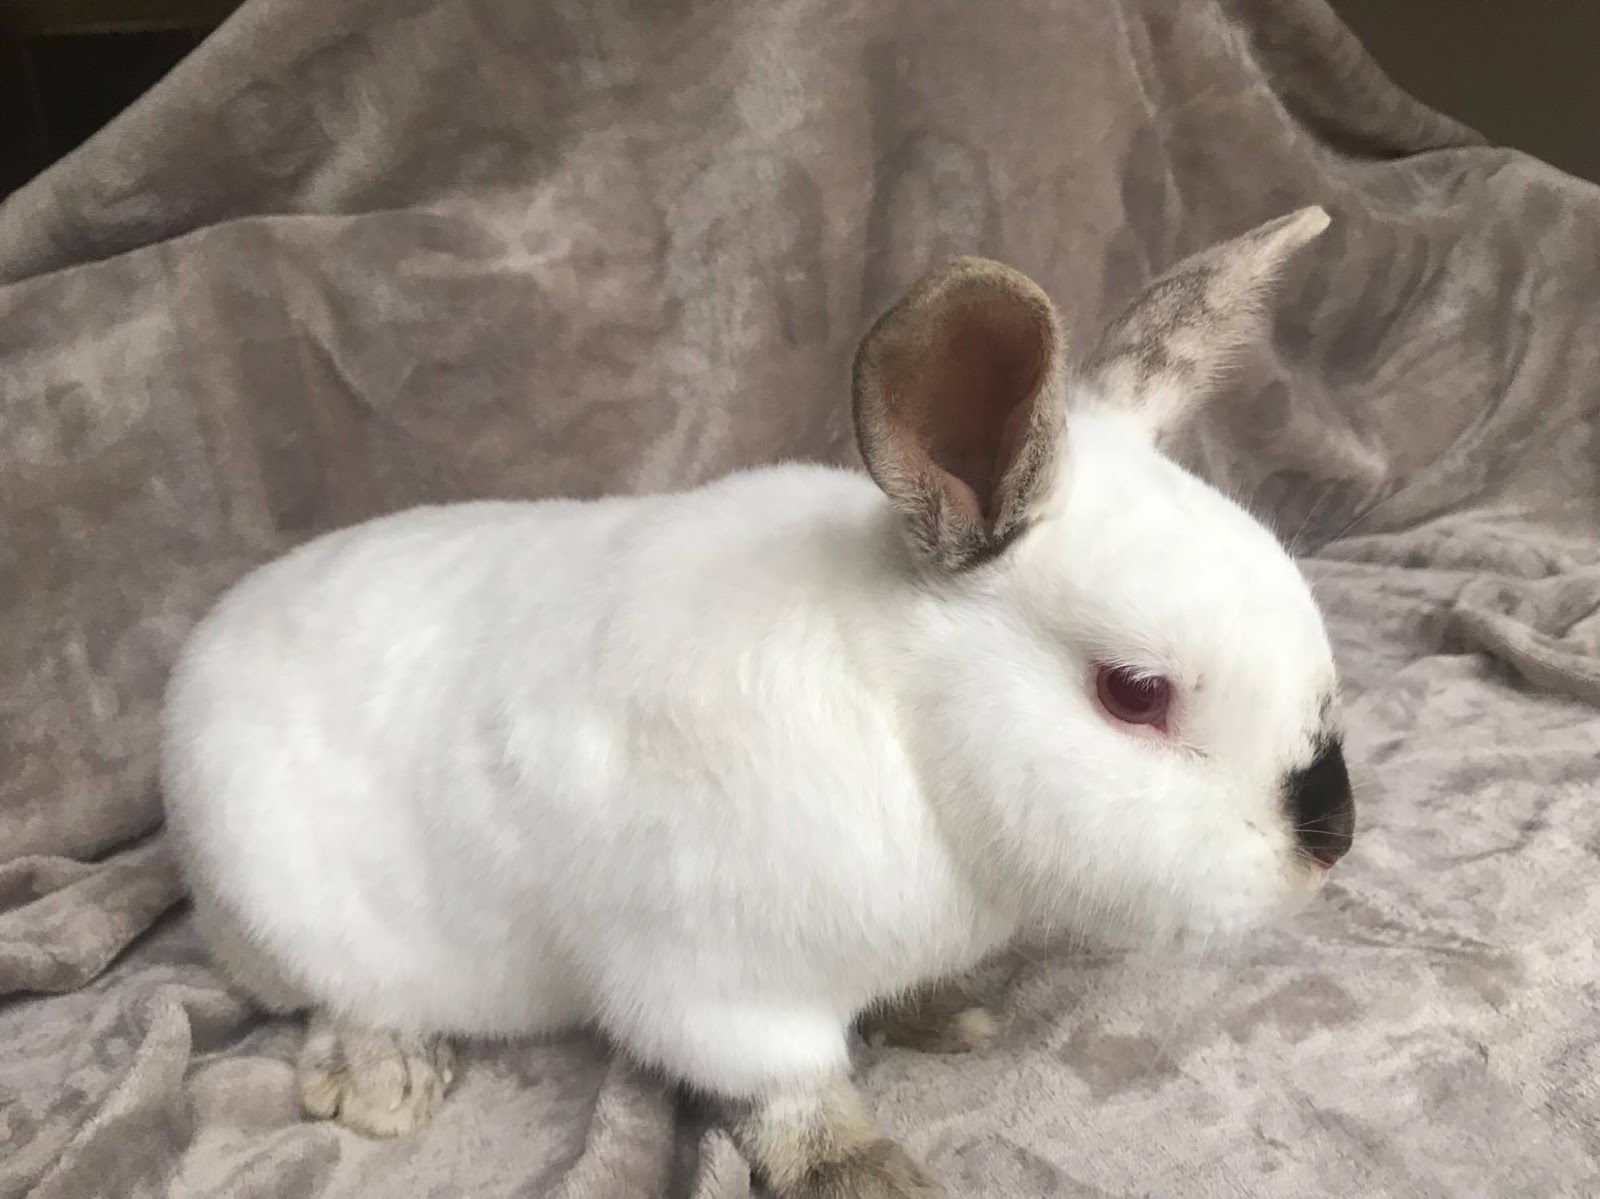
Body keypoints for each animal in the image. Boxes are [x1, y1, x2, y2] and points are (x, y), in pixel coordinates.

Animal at [160, 205, 1354, 1199]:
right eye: (1133, 692)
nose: (1329, 840)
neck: (908, 726)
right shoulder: (712, 985)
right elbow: (791, 1091)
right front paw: (872, 1175)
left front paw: (944, 1014)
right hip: (299, 918)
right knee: (333, 997)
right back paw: (382, 1081)